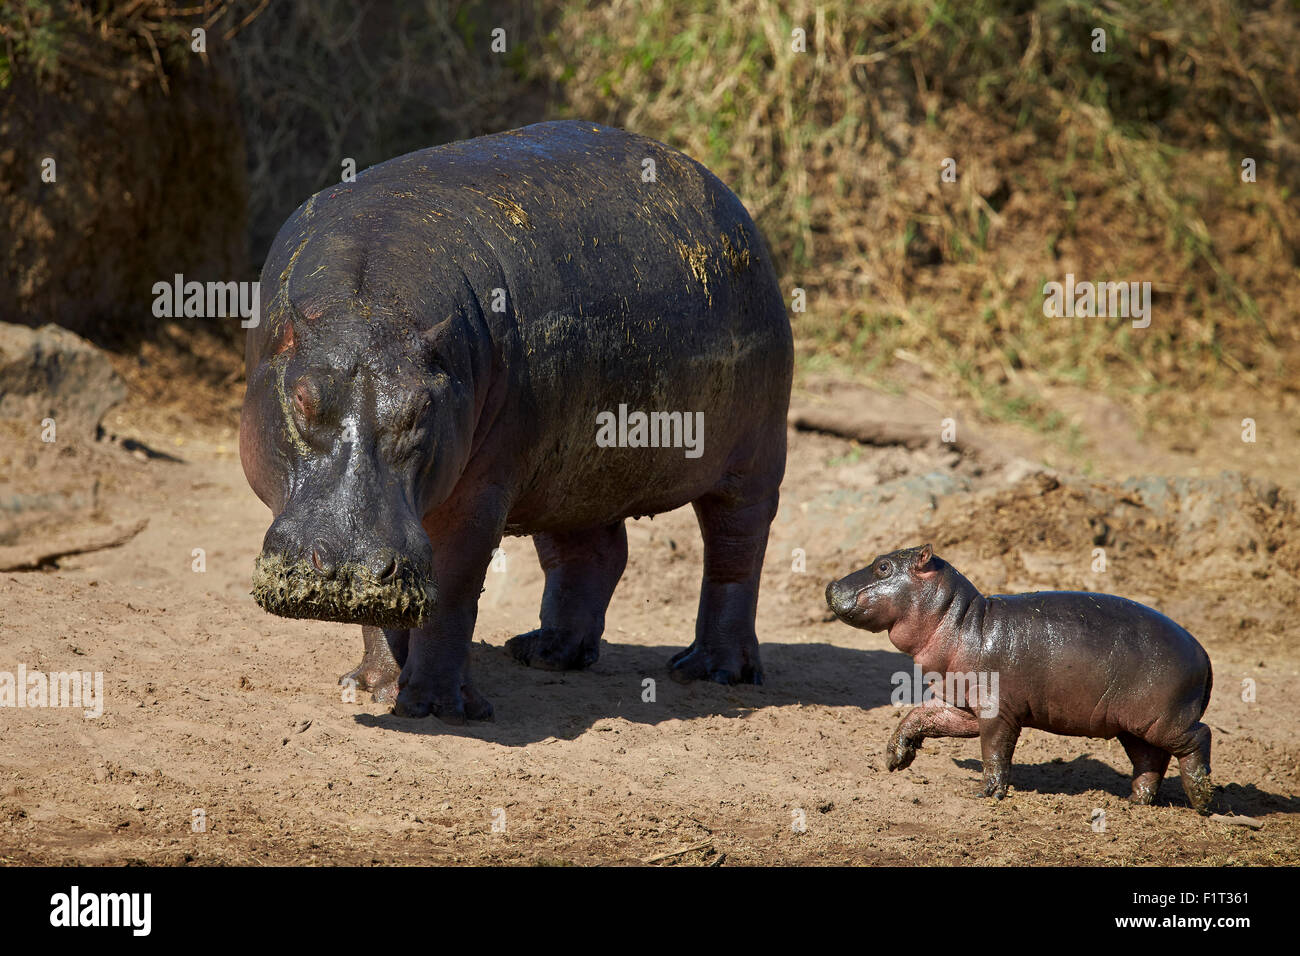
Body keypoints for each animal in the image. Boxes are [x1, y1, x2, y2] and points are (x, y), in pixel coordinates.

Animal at [240, 121, 792, 722]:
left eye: (421, 410)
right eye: (303, 398)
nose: (346, 567)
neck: (373, 304)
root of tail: (729, 199)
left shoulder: (480, 493)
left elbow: (455, 590)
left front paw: (436, 706)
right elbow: (388, 606)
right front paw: (376, 687)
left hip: (754, 456)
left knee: (736, 550)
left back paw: (712, 669)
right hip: (569, 469)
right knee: (592, 553)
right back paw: (546, 653)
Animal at [825, 545, 1216, 813]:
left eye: (883, 566)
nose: (830, 585)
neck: (960, 621)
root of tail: (1203, 652)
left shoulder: (997, 710)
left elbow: (995, 750)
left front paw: (986, 793)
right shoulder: (964, 705)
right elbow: (920, 715)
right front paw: (895, 757)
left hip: (1166, 719)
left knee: (1198, 737)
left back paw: (1201, 800)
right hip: (1132, 724)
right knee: (1150, 760)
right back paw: (1135, 802)